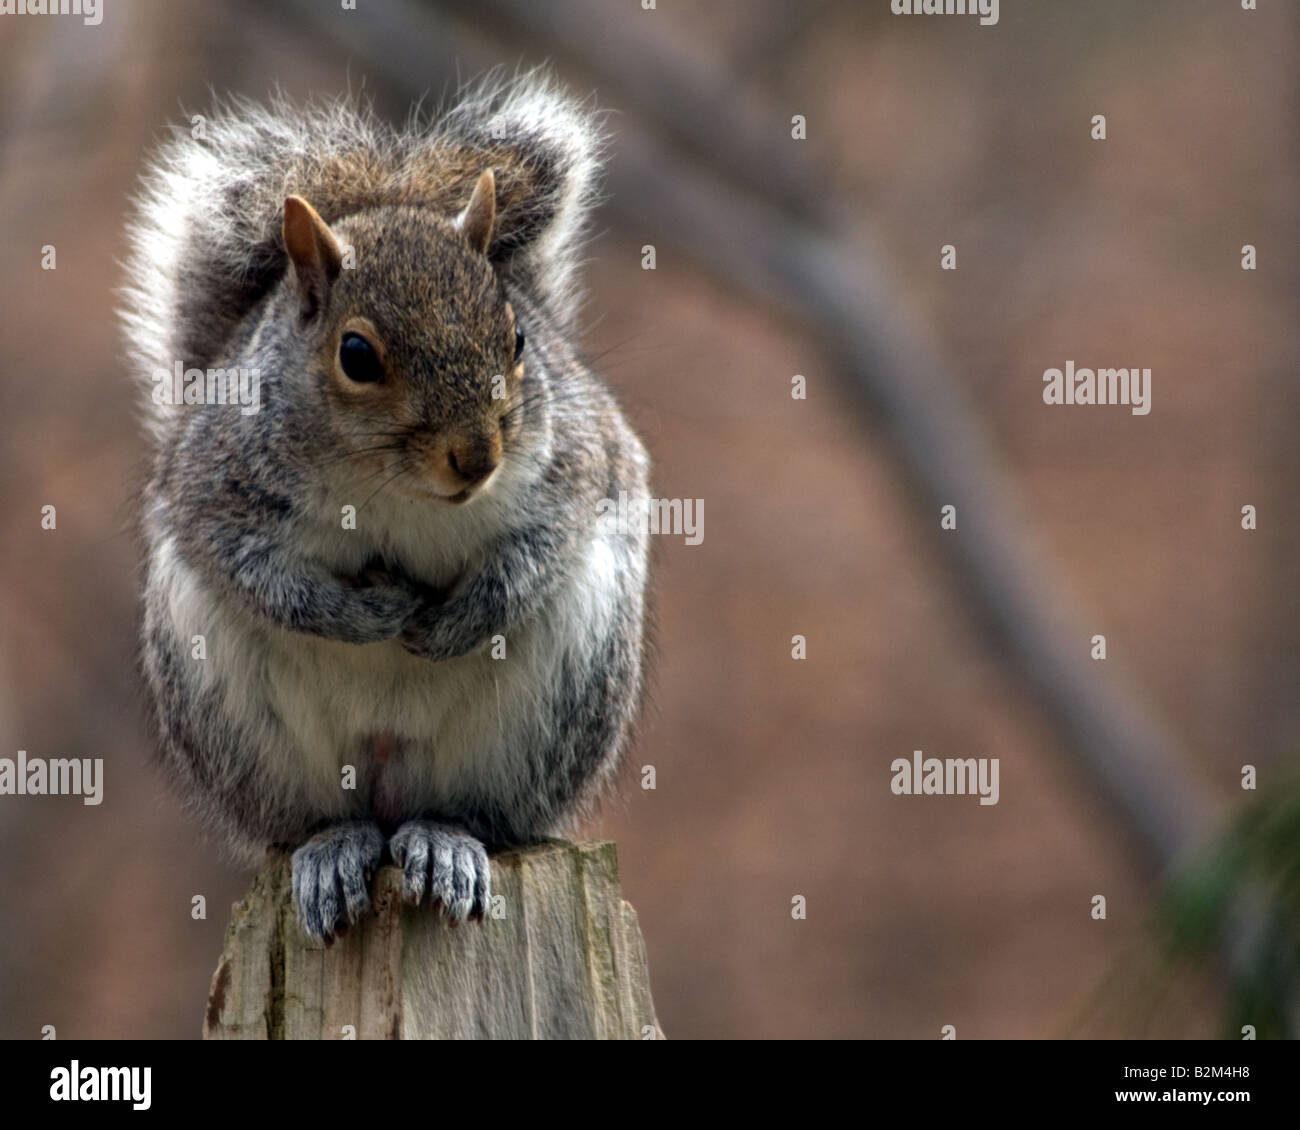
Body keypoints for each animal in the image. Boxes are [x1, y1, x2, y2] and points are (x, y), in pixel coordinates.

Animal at [120, 74, 651, 943]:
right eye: (357, 355)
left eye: (517, 340)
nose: (478, 458)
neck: (395, 491)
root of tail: (386, 790)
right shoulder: (216, 490)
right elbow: (264, 577)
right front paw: (370, 615)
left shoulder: (579, 463)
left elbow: (540, 550)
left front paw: (458, 618)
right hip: (235, 722)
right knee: (313, 819)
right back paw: (332, 849)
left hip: (552, 708)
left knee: (471, 812)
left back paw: (445, 842)